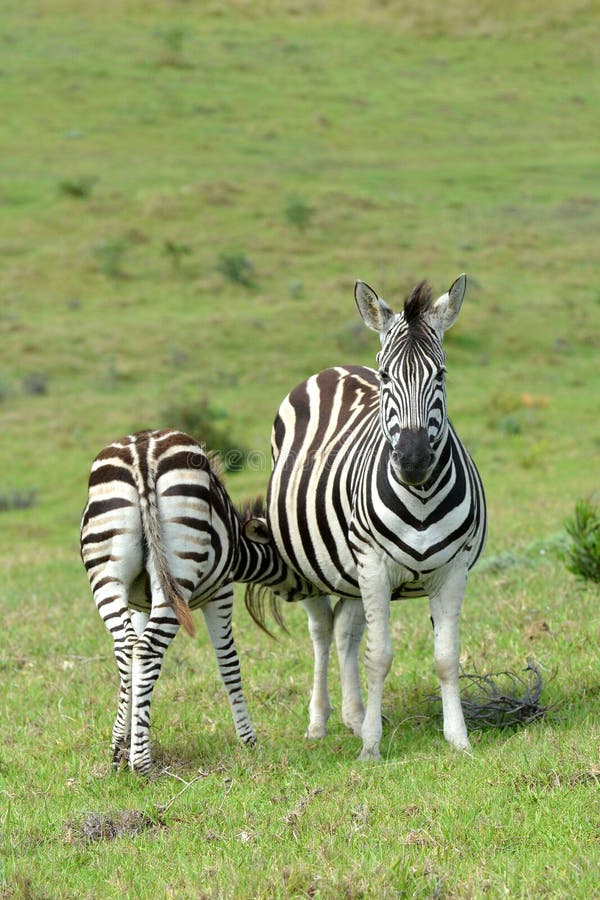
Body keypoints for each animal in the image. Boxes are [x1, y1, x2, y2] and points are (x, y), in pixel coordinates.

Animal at [80, 428, 308, 774]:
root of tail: (141, 453)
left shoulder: (139, 604)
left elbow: (133, 661)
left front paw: (128, 741)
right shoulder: (221, 592)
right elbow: (228, 663)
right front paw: (249, 741)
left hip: (109, 574)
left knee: (127, 647)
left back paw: (120, 751)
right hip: (181, 570)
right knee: (147, 649)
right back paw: (143, 765)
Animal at [264, 275, 487, 760]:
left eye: (441, 375)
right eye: (386, 375)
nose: (414, 460)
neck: (420, 499)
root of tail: (335, 369)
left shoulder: (453, 570)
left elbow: (446, 658)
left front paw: (458, 739)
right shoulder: (374, 565)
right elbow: (379, 656)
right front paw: (371, 748)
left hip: (350, 573)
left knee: (345, 631)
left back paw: (354, 716)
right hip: (315, 567)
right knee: (322, 631)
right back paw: (320, 723)